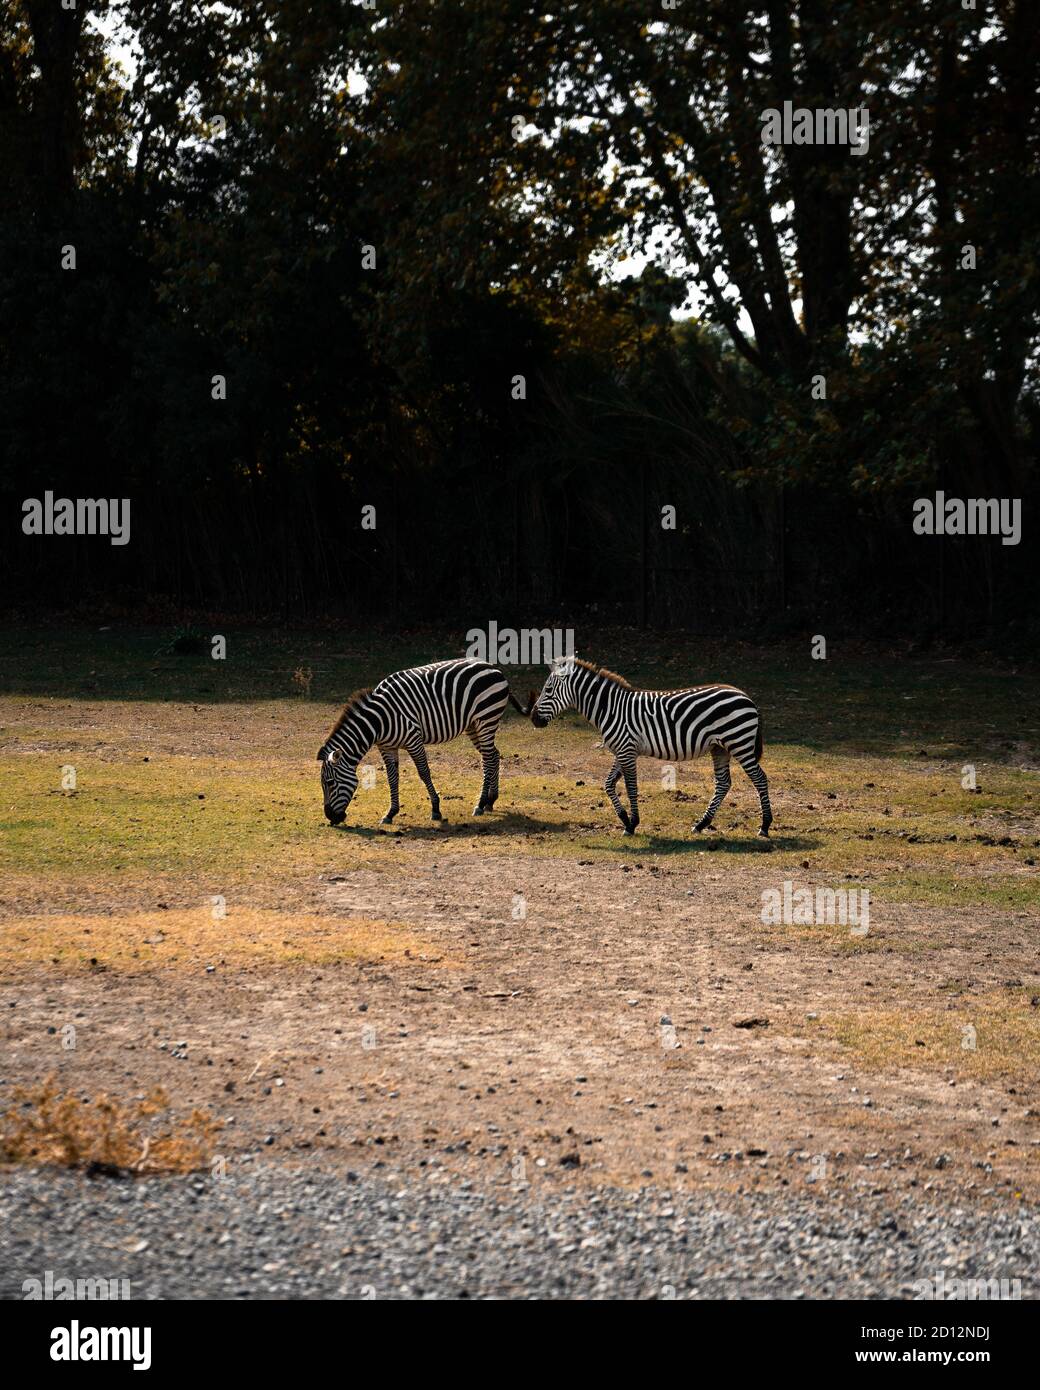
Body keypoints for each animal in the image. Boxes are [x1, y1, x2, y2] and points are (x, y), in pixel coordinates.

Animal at [317, 658, 529, 825]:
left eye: (329, 783)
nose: (331, 818)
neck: (378, 722)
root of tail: (494, 668)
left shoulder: (413, 740)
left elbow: (424, 772)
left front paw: (435, 809)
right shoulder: (387, 747)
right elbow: (392, 778)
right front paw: (390, 813)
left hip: (486, 719)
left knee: (488, 760)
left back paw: (480, 804)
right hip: (473, 725)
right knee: (493, 755)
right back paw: (490, 801)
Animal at [530, 657, 772, 837]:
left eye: (548, 690)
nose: (533, 719)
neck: (610, 708)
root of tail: (745, 696)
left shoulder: (627, 751)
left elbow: (631, 787)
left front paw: (632, 824)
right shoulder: (621, 750)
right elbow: (608, 784)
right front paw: (625, 819)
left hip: (739, 743)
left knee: (759, 778)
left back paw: (765, 826)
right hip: (719, 748)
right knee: (723, 783)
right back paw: (701, 824)